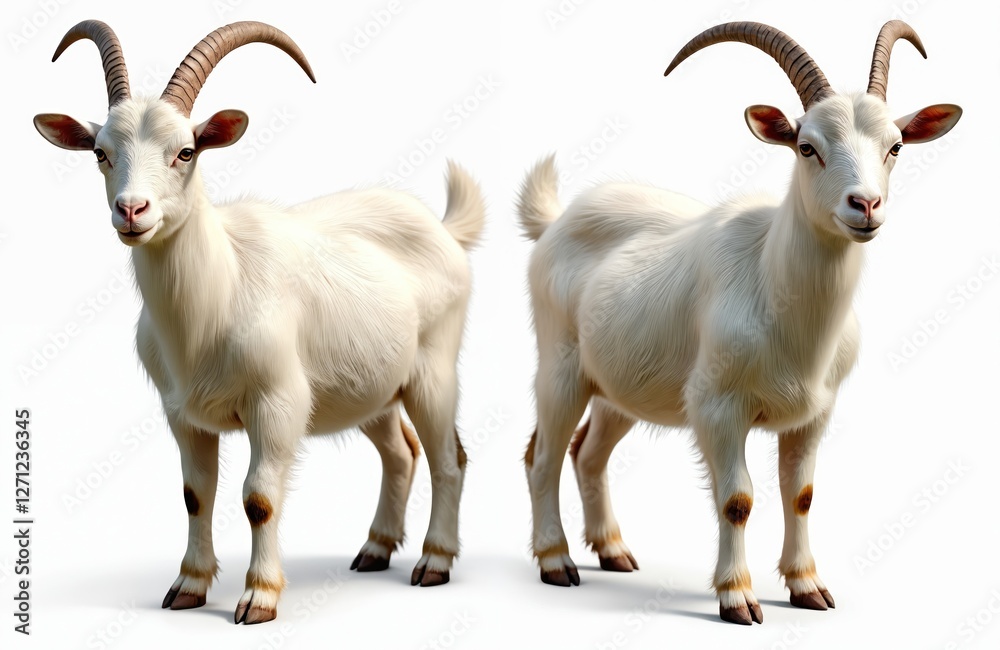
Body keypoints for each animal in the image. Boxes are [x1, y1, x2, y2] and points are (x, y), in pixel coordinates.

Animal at [34, 20, 484, 625]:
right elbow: (195, 495)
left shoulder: (277, 402)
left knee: (447, 459)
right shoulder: (182, 414)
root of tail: (444, 228)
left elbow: (259, 498)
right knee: (400, 452)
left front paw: (259, 598)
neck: (215, 297)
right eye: (102, 153)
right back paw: (374, 549)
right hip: (369, 386)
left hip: (433, 371)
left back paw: (434, 562)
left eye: (186, 151)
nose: (132, 211)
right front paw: (188, 587)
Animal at [518, 21, 961, 625]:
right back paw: (555, 562)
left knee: (587, 453)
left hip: (621, 385)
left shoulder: (815, 414)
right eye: (807, 146)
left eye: (894, 146)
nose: (865, 205)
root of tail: (555, 221)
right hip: (560, 365)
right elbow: (737, 499)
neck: (774, 287)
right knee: (542, 456)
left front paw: (808, 587)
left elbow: (801, 495)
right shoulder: (716, 406)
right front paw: (737, 598)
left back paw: (612, 551)